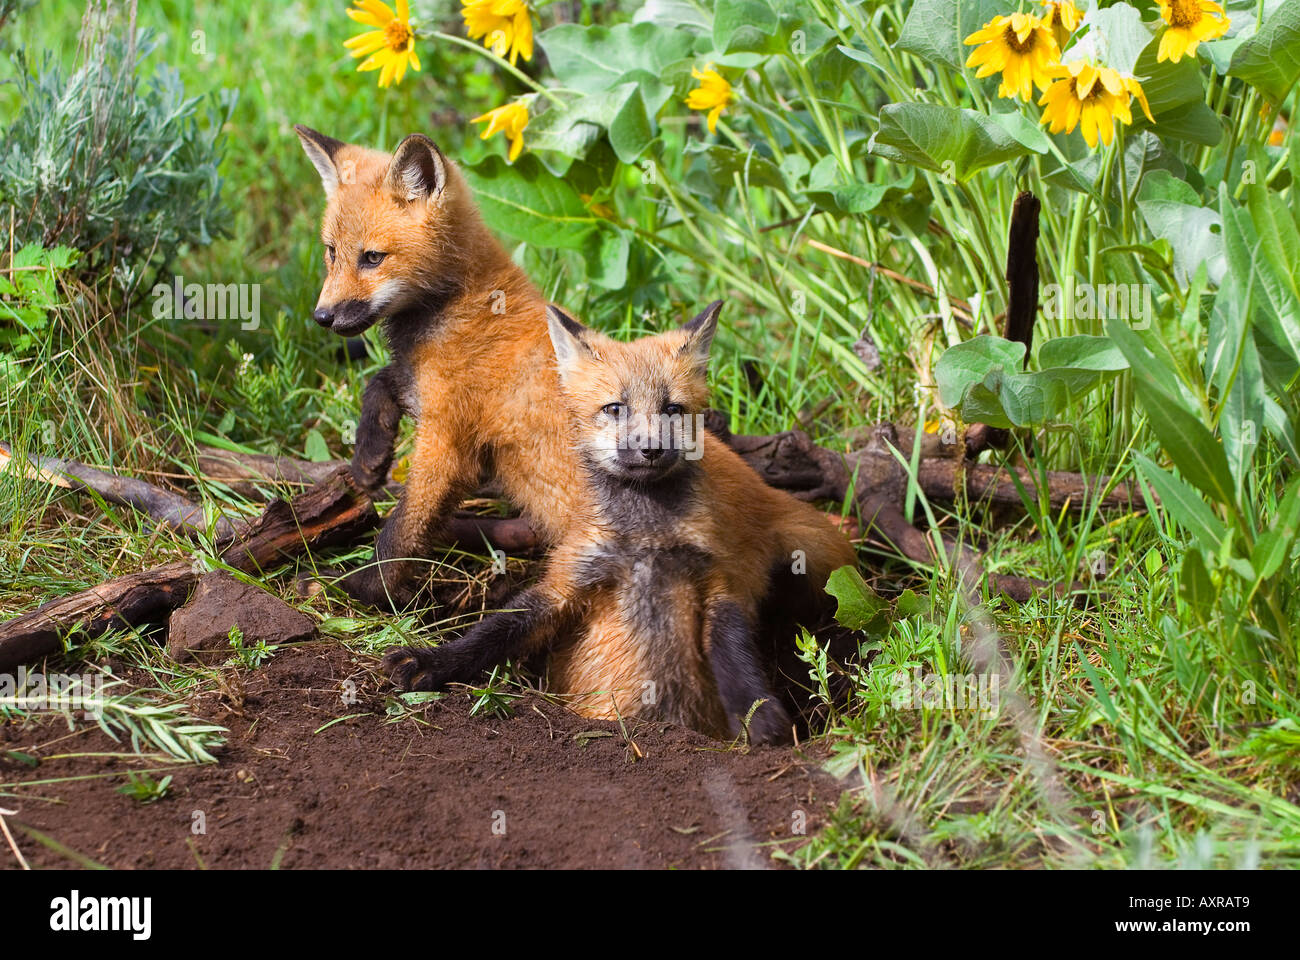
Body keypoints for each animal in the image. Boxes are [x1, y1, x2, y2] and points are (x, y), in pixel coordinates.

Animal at [292, 124, 857, 625]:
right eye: (330, 253)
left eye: (372, 258)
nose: (321, 317)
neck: (462, 309)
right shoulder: (426, 394)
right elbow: (381, 382)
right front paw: (369, 458)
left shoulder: (448, 442)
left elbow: (402, 530)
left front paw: (364, 591)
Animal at [382, 302, 858, 744]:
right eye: (614, 408)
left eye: (672, 409)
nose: (650, 448)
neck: (647, 539)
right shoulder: (569, 579)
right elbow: (494, 630)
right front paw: (431, 662)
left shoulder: (721, 580)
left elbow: (736, 655)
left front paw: (762, 717)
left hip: (808, 554)